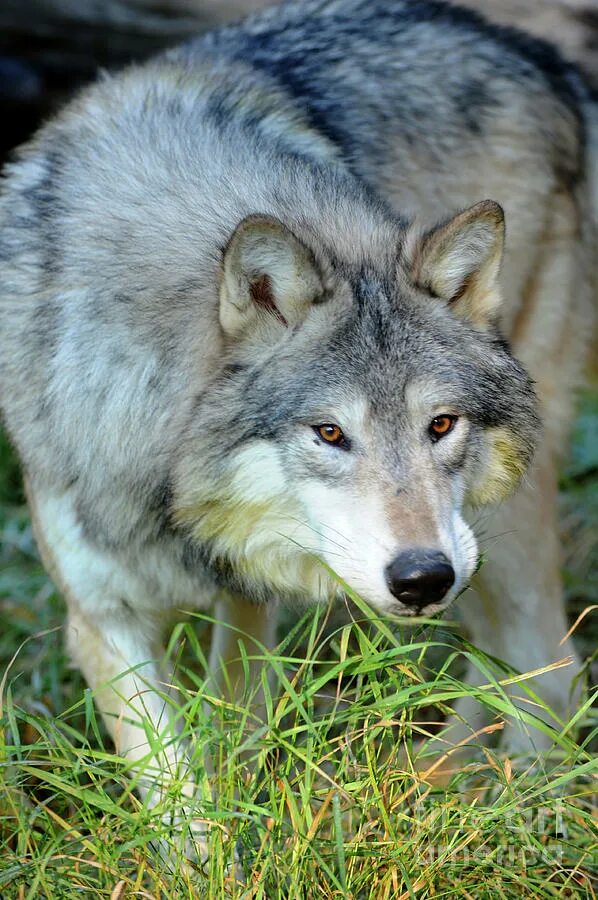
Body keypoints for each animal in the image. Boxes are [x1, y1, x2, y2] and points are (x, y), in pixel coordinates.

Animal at [0, 0, 596, 848]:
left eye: (441, 424)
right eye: (329, 433)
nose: (421, 578)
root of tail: (536, 51)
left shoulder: (251, 591)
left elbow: (232, 725)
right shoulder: (104, 614)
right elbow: (178, 787)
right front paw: (212, 856)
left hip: (493, 535)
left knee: (551, 675)